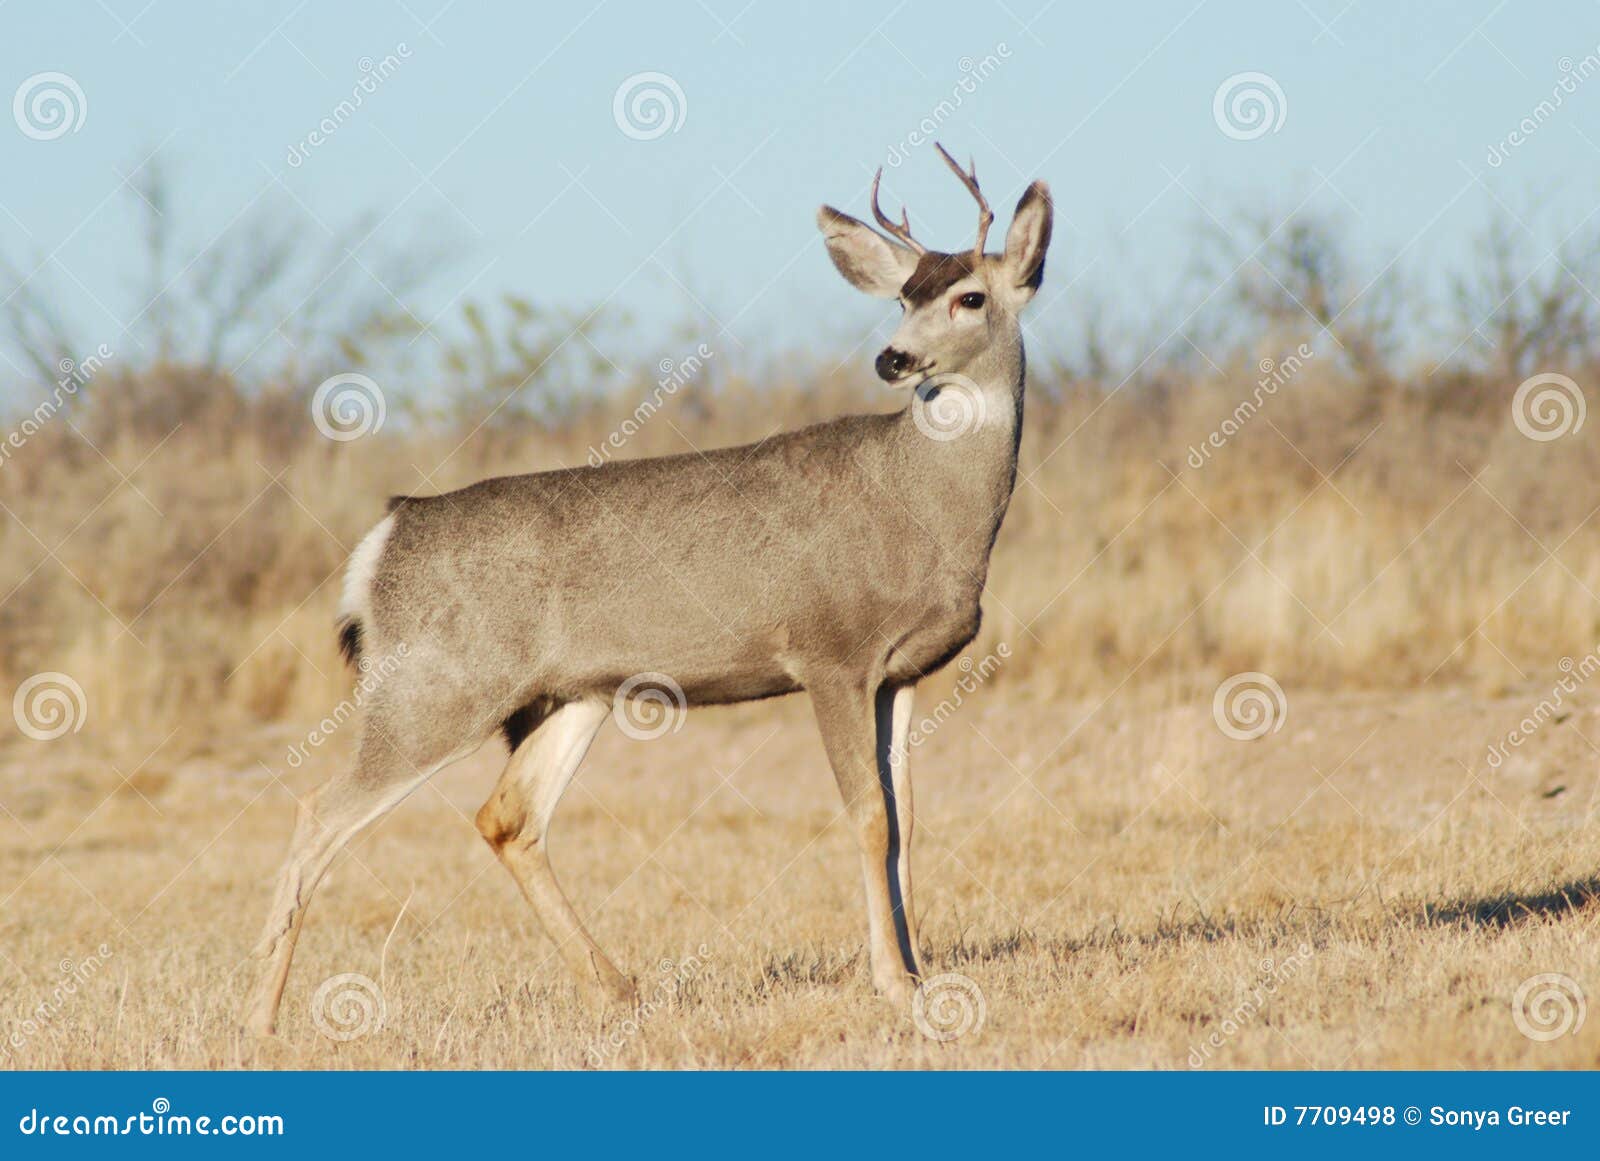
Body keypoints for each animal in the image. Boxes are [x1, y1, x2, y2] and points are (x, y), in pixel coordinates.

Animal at [242, 145, 1052, 1036]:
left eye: (969, 296)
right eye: (905, 296)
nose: (893, 359)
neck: (925, 505)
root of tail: (389, 532)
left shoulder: (901, 671)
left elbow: (907, 818)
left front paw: (918, 969)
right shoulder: (830, 651)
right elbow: (869, 814)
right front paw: (892, 983)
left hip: (567, 695)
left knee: (508, 816)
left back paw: (616, 987)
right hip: (434, 686)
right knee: (319, 811)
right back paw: (257, 1019)